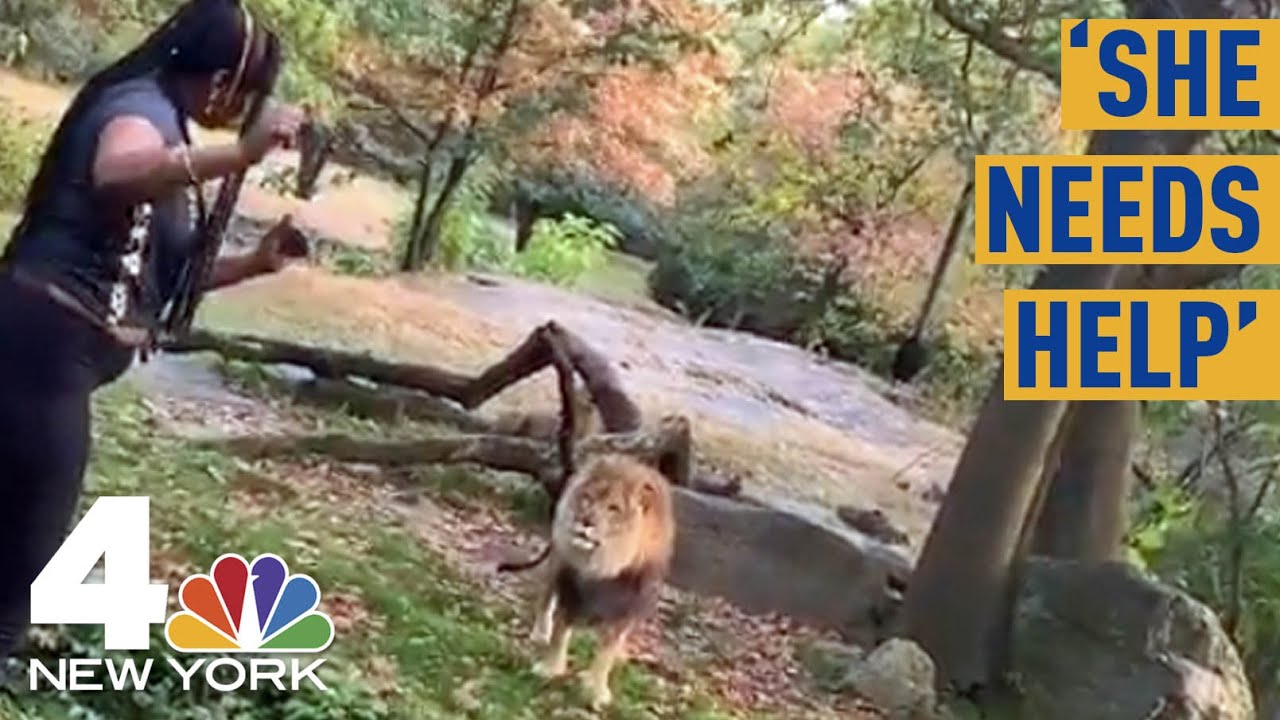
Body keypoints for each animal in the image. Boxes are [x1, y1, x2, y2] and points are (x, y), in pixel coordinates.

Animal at [526, 453, 676, 709]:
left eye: (613, 508)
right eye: (587, 498)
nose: (585, 520)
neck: (603, 566)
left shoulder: (625, 608)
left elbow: (607, 653)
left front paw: (596, 691)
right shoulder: (570, 590)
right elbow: (559, 634)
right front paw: (550, 669)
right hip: (555, 562)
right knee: (545, 599)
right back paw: (540, 633)